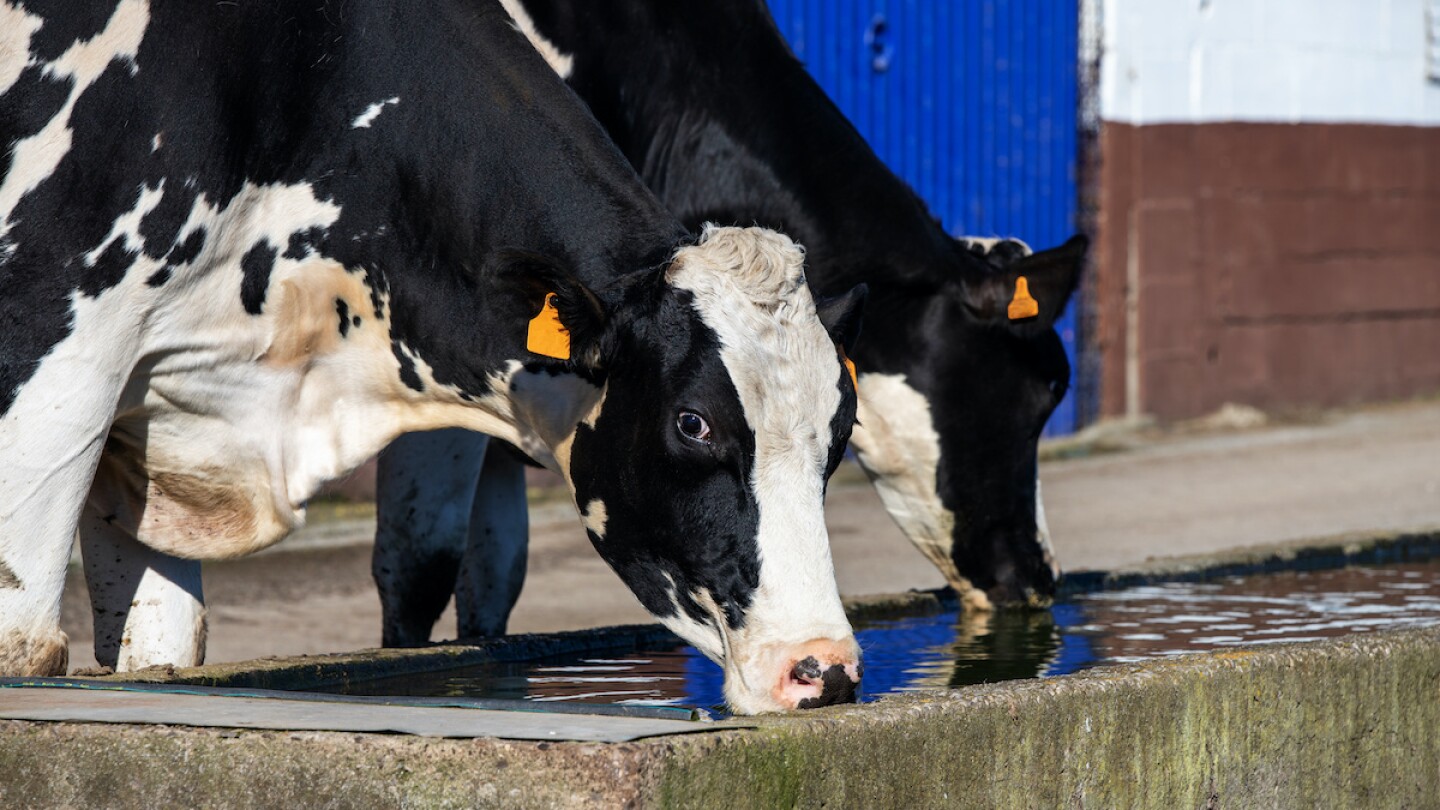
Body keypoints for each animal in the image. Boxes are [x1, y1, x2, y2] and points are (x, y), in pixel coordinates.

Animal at [0, 0, 868, 714]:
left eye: (840, 433)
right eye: (693, 424)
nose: (822, 668)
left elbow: (167, 649)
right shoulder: (58, 366)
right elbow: (30, 647)